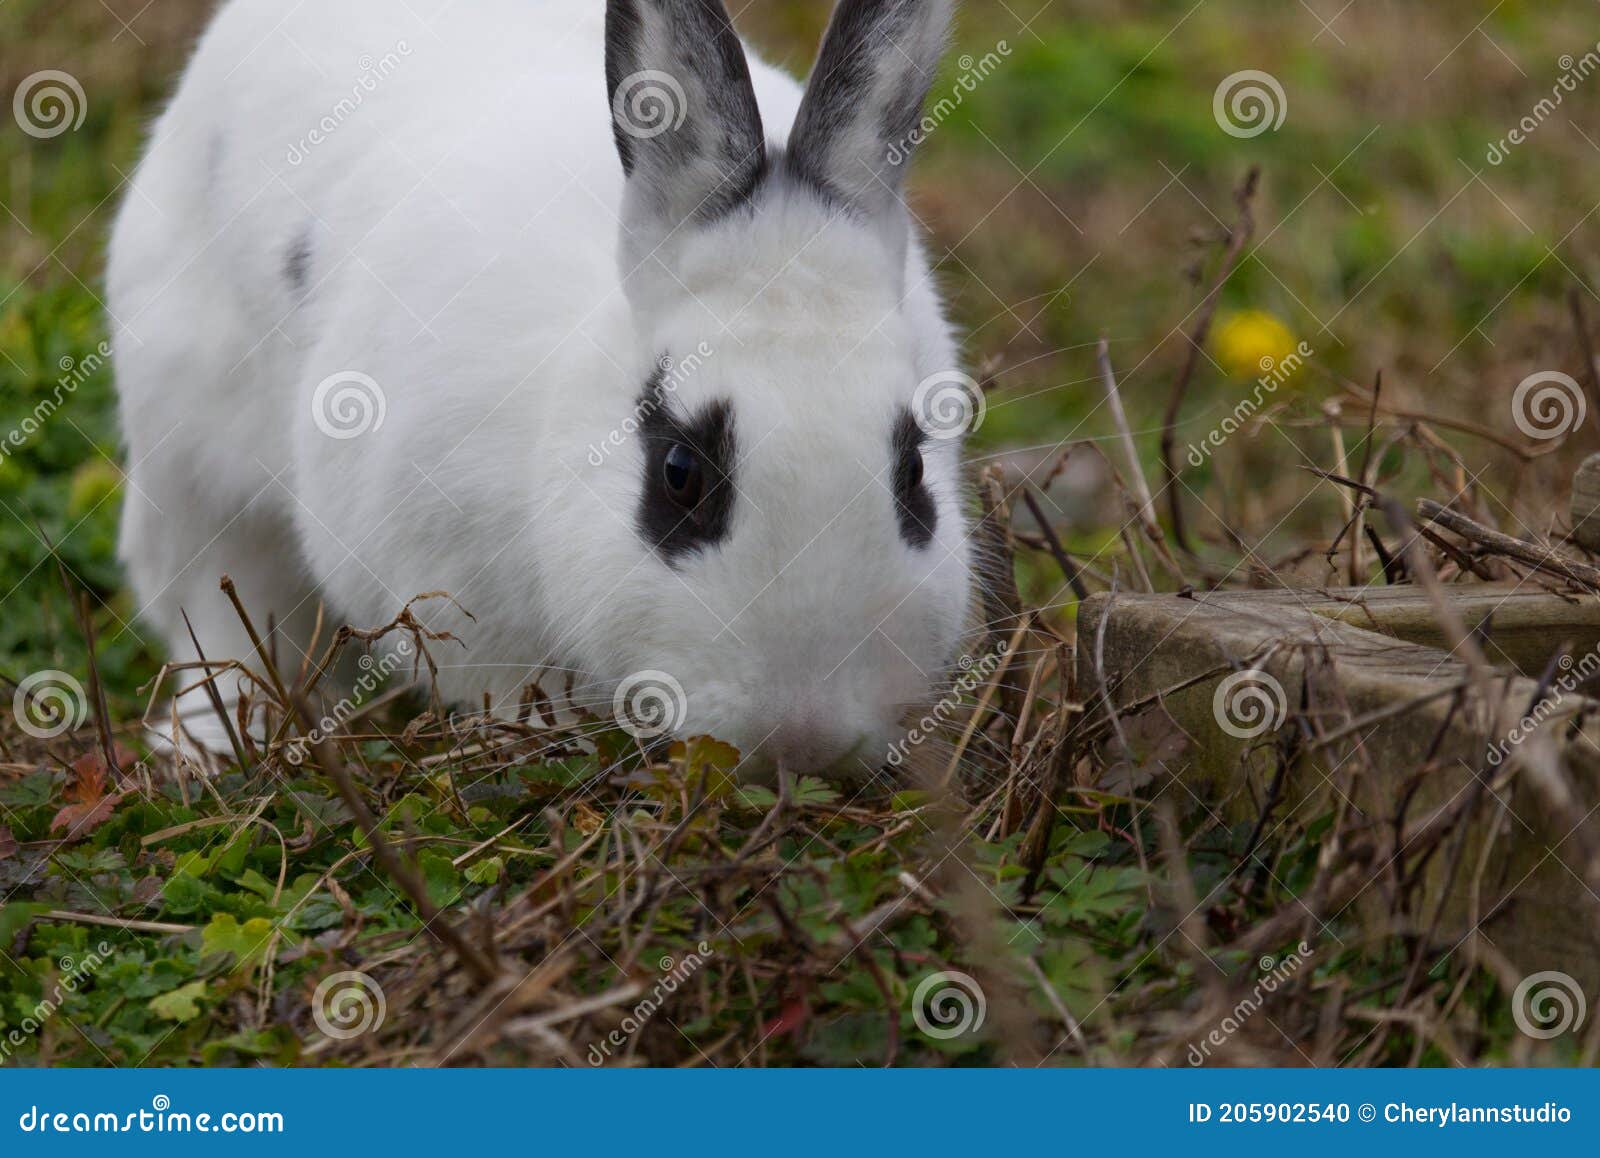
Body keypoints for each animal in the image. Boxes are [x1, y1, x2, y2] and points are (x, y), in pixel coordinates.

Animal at [107, 0, 976, 778]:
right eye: (680, 474)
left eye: (914, 473)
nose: (800, 740)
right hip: (191, 465)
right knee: (220, 610)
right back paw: (209, 748)